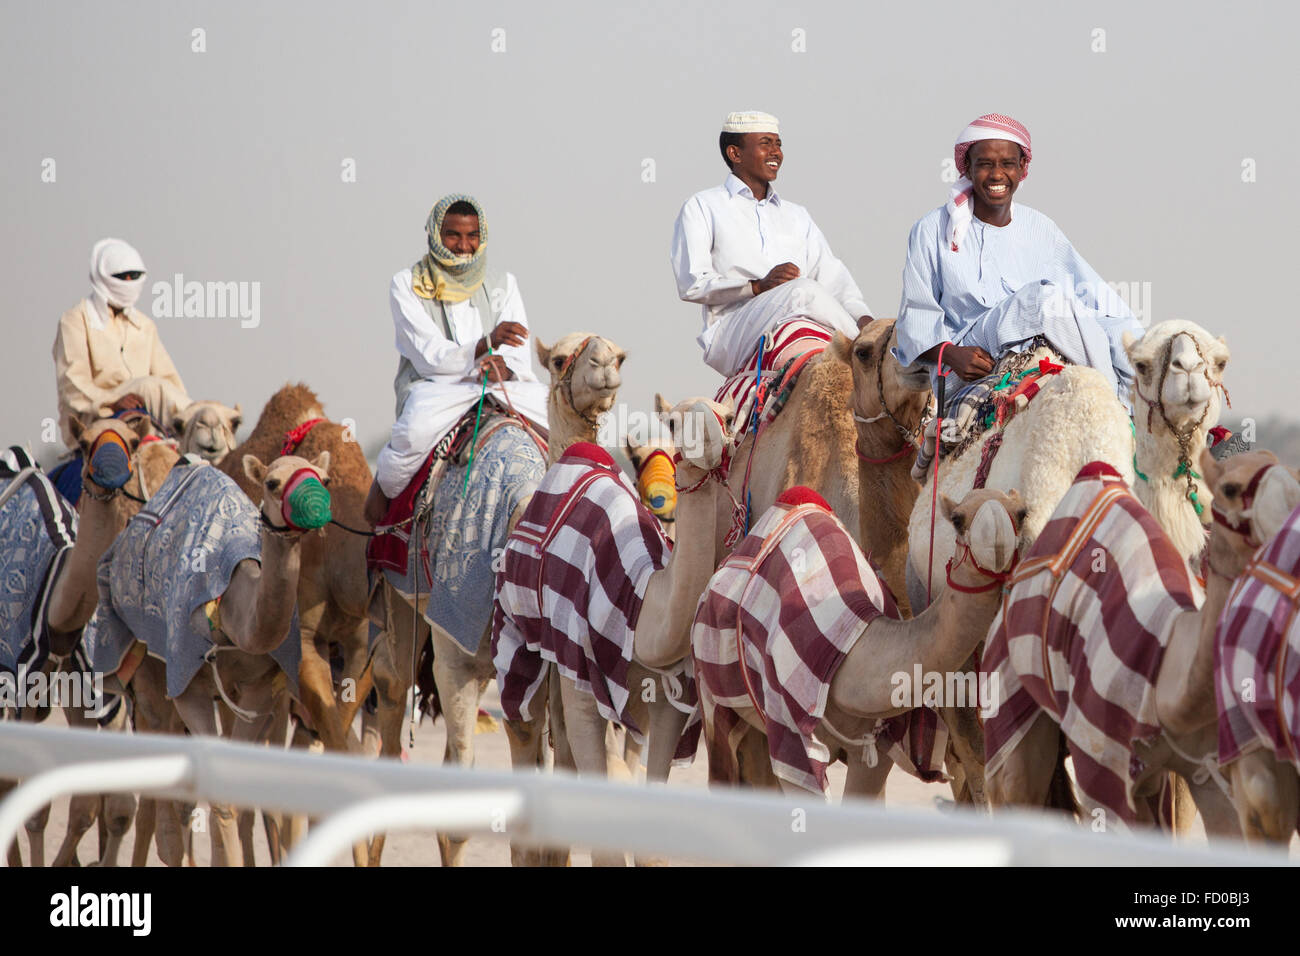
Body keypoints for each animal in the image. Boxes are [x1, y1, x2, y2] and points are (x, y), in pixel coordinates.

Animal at [87, 450, 332, 866]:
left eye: (325, 478)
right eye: (272, 483)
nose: (315, 505)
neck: (233, 613)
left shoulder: (258, 690)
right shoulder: (189, 686)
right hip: (151, 678)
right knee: (164, 812)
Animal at [363, 333, 625, 867]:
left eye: (621, 355)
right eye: (560, 359)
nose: (606, 360)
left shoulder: (547, 669)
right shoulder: (456, 656)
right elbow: (461, 819)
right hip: (399, 598)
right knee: (394, 693)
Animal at [692, 486, 1025, 799]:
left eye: (1022, 513)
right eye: (957, 519)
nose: (997, 541)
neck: (850, 654)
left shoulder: (877, 746)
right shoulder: (793, 736)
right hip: (712, 697)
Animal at [984, 451, 1300, 835]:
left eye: (1296, 477)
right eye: (1229, 487)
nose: (1286, 525)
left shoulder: (1206, 771)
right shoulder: (1100, 766)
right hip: (1006, 698)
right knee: (1016, 785)